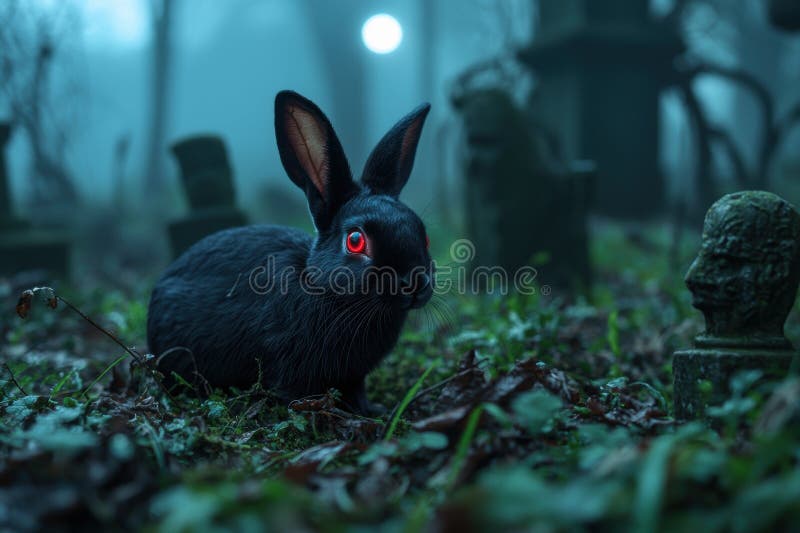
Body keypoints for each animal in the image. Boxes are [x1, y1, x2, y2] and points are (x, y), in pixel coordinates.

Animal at [146, 90, 433, 415]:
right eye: (356, 241)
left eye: (424, 237)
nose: (414, 283)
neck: (324, 290)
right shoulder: (289, 367)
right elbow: (294, 394)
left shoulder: (353, 376)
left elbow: (356, 391)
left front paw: (372, 411)